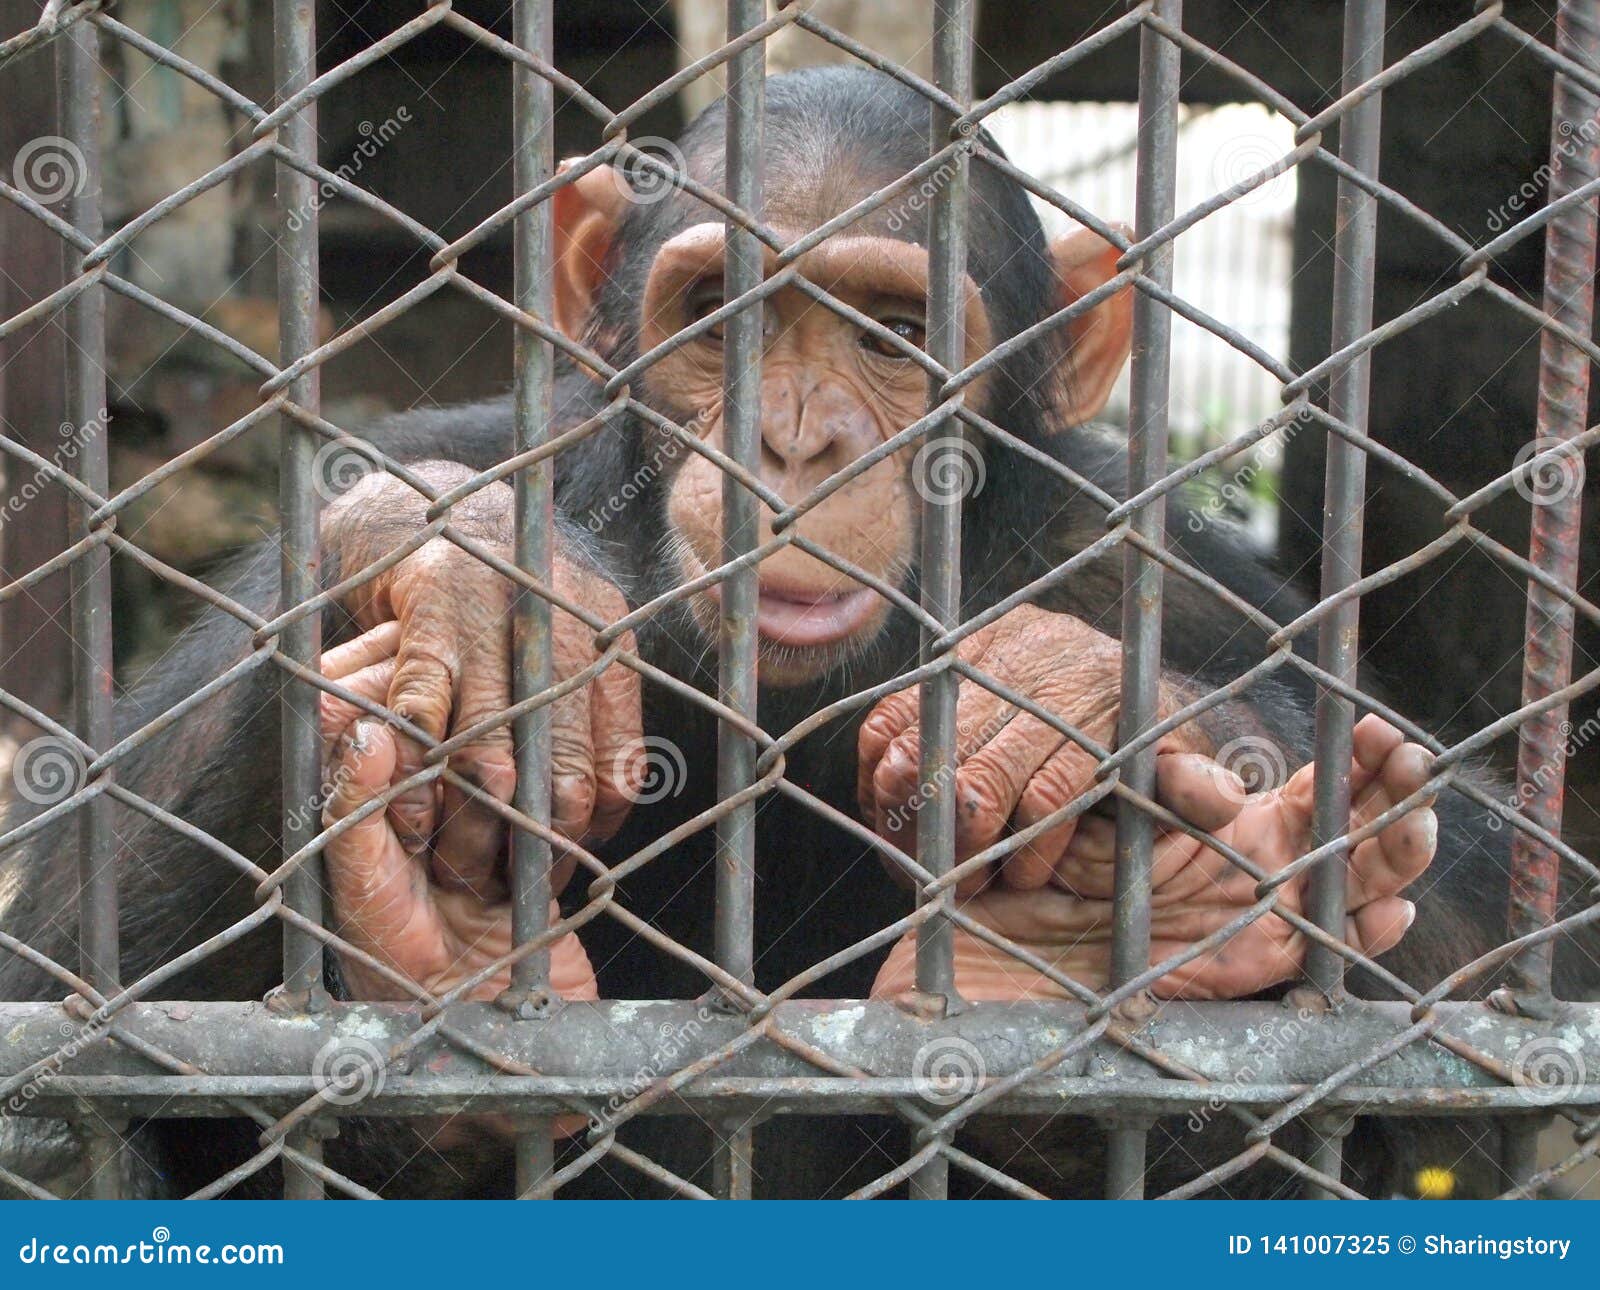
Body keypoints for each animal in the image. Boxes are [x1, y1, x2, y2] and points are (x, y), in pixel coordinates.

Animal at [0, 67, 1576, 1199]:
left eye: (890, 335)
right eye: (721, 313)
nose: (797, 436)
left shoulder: (1160, 564)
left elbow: (1486, 956)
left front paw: (1098, 715)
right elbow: (68, 977)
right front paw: (464, 579)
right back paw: (429, 947)